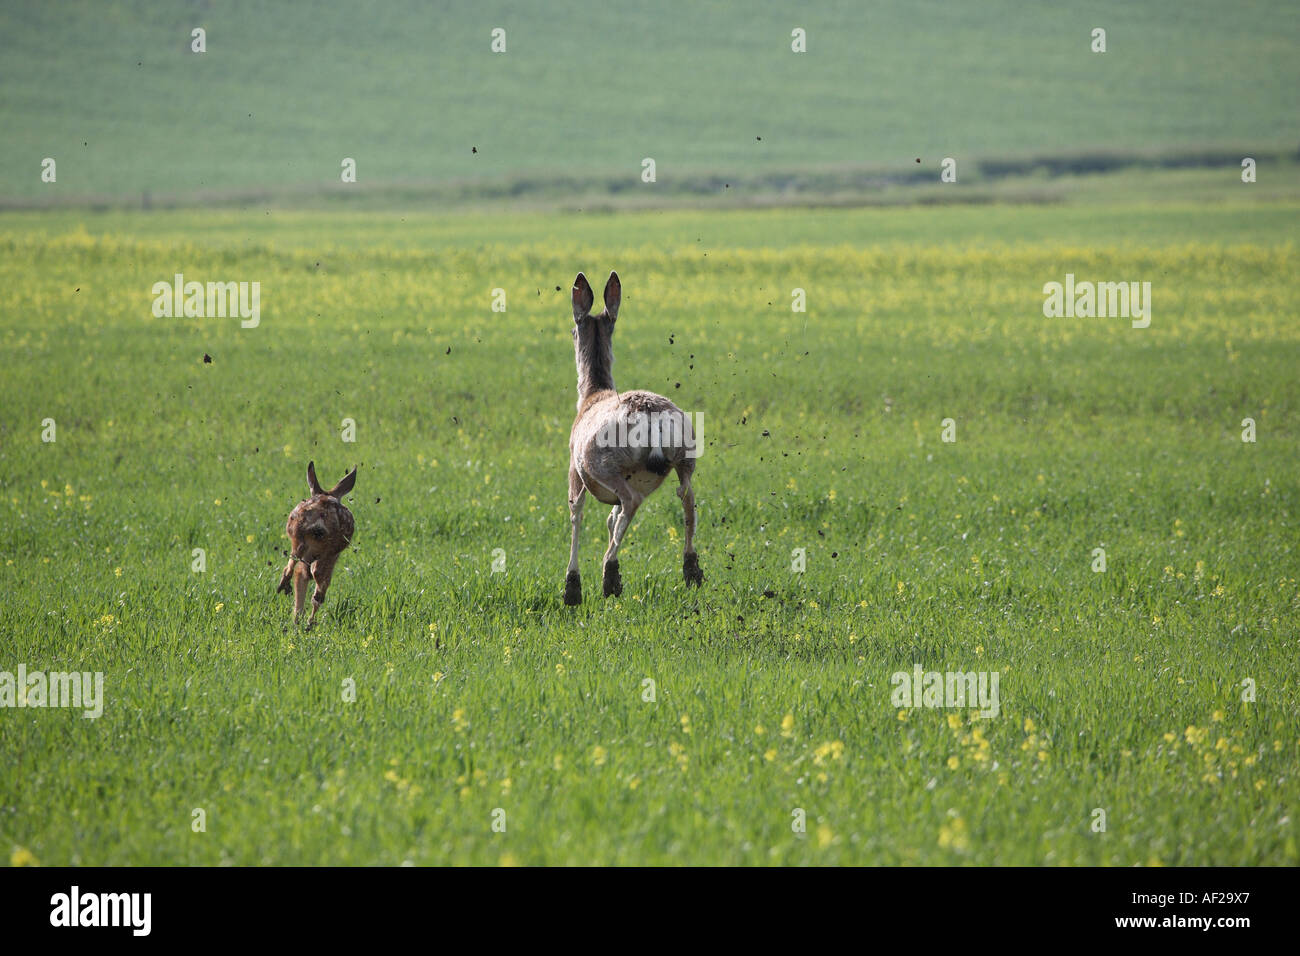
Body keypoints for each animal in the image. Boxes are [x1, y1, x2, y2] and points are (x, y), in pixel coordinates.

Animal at [276, 461, 357, 628]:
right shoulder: (331, 554)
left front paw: (297, 620)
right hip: (329, 549)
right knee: (318, 582)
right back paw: (309, 622)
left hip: (295, 533)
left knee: (293, 565)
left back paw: (283, 588)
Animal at [564, 271, 702, 605]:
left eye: (573, 331)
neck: (591, 396)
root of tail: (652, 417)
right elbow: (610, 519)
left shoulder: (574, 466)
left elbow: (577, 512)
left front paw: (572, 588)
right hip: (687, 453)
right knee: (687, 496)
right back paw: (692, 571)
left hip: (602, 462)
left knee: (631, 499)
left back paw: (610, 576)